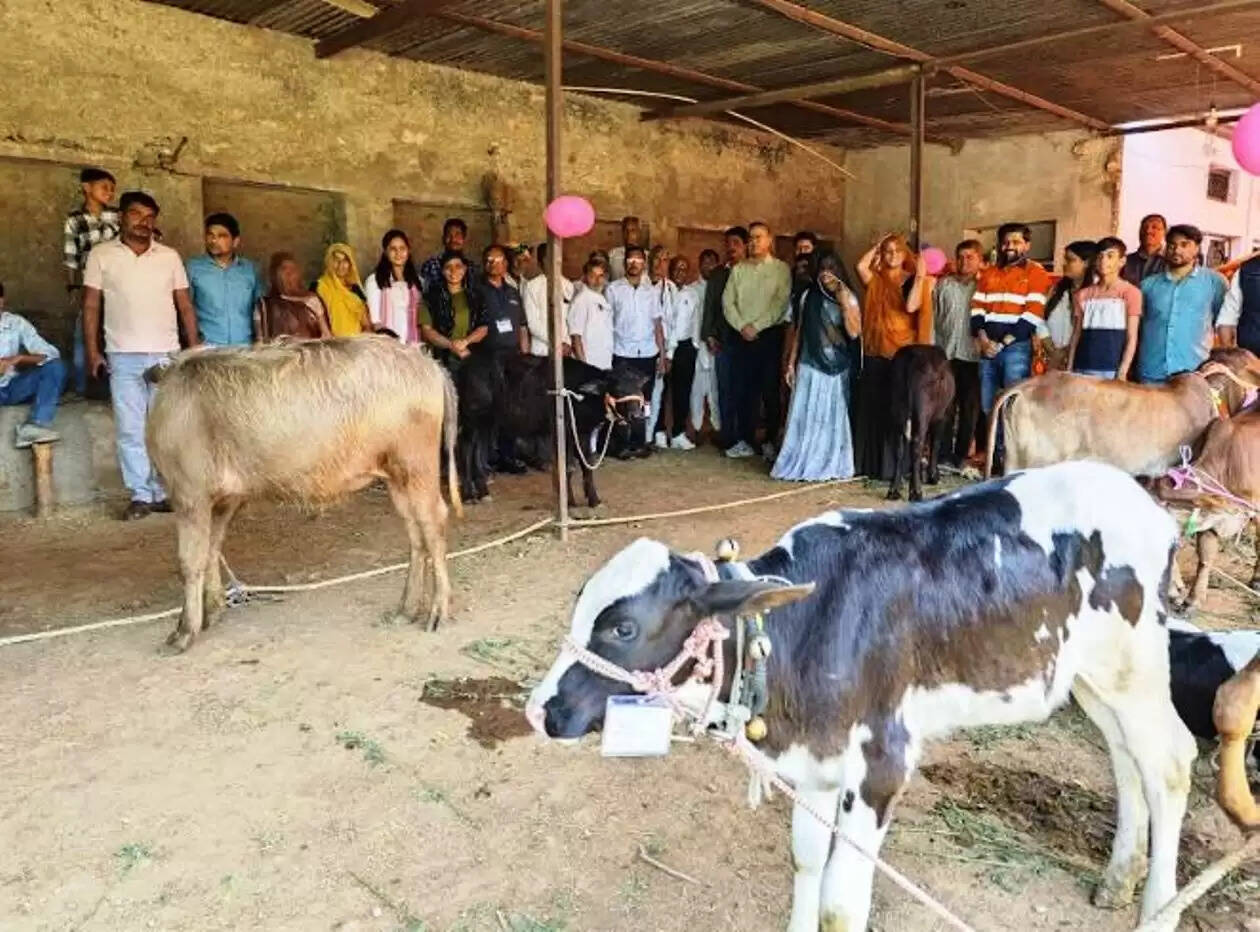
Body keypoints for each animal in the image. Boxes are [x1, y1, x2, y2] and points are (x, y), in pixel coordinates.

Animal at [147, 337, 459, 651]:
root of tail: (426, 361)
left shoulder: (189, 492)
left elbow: (189, 560)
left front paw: (183, 632)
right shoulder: (225, 499)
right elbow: (212, 549)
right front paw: (211, 612)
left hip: (417, 465)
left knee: (434, 522)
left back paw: (437, 612)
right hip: (397, 476)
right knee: (416, 533)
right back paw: (406, 610)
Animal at [456, 352, 646, 507]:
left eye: (638, 388)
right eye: (618, 389)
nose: (636, 415)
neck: (581, 395)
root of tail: (464, 365)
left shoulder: (583, 432)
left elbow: (587, 466)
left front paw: (594, 500)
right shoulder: (566, 431)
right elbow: (568, 467)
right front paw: (569, 502)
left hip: (486, 423)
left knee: (477, 451)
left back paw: (483, 492)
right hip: (472, 418)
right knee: (465, 449)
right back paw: (469, 495)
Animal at [527, 461, 1195, 932]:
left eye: (623, 628)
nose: (541, 710)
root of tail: (1146, 501)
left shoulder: (880, 765)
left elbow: (840, 907)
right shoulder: (816, 764)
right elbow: (804, 860)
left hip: (1136, 663)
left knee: (1170, 761)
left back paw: (1158, 908)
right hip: (1092, 676)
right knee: (1124, 757)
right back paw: (1118, 879)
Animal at [887, 344, 955, 502]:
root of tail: (912, 355)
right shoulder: (942, 416)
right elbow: (935, 444)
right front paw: (933, 475)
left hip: (897, 408)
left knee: (899, 447)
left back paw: (894, 490)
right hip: (922, 411)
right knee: (917, 444)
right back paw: (916, 492)